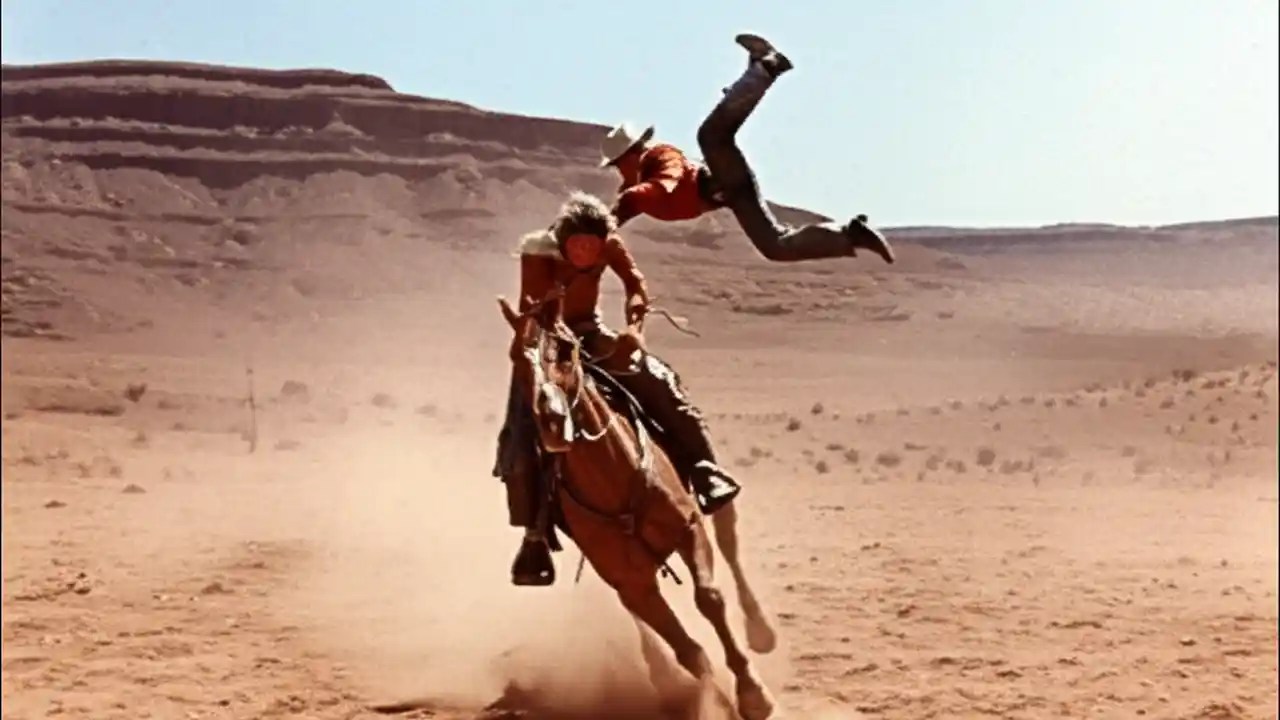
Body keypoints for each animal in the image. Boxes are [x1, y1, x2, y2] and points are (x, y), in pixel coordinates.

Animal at [497, 290, 776, 720]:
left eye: (566, 349)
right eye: (516, 357)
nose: (552, 421)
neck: (616, 481)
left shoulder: (688, 530)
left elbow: (709, 598)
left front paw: (752, 693)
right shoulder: (628, 577)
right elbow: (688, 650)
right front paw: (711, 699)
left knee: (729, 542)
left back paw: (761, 630)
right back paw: (659, 673)